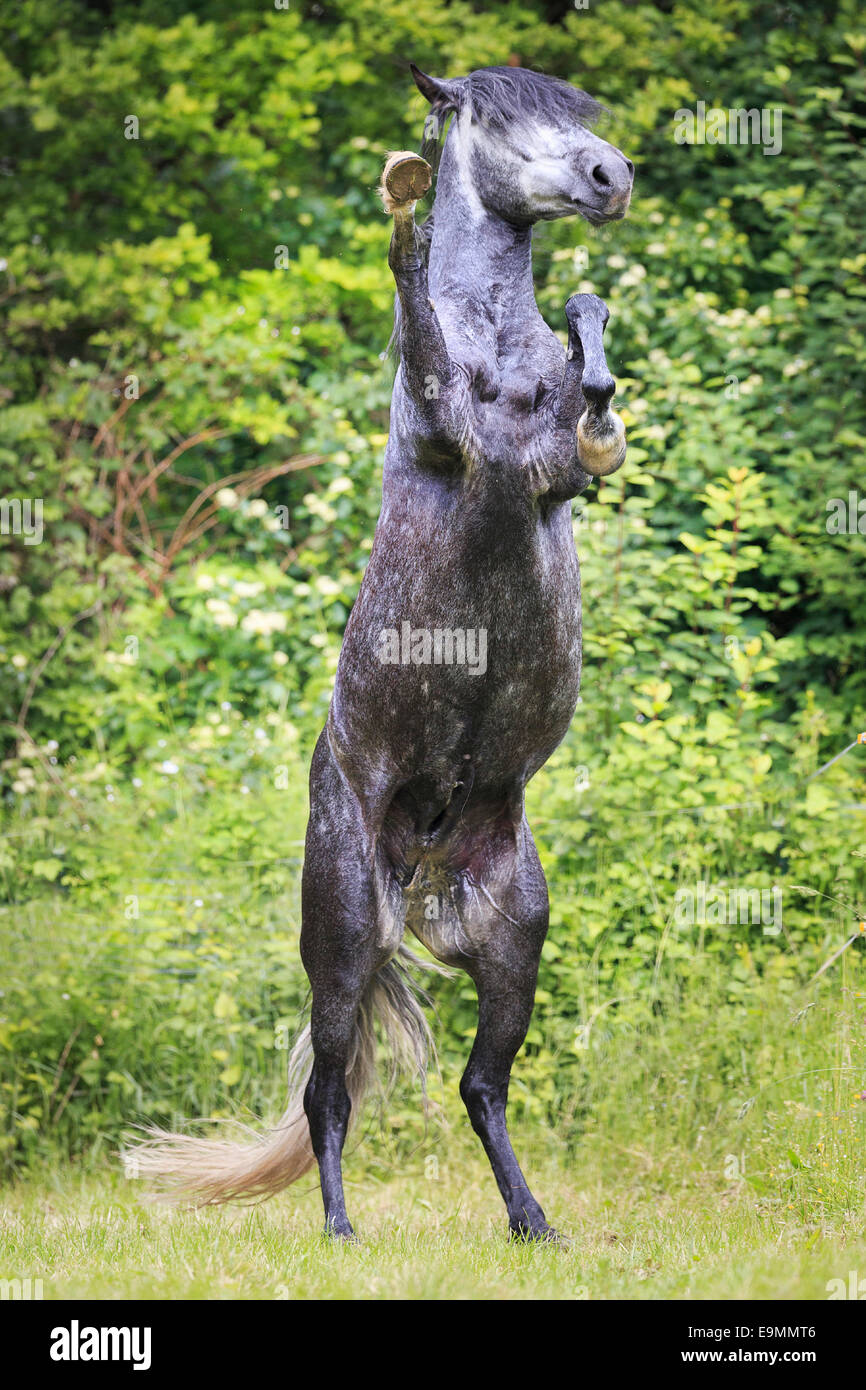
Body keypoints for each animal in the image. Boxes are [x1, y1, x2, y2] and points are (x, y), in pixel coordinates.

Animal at [129, 62, 633, 1243]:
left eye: (576, 111)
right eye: (498, 116)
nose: (610, 176)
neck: (500, 354)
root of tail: (425, 858)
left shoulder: (564, 477)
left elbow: (594, 410)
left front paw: (589, 323)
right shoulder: (452, 431)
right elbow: (425, 335)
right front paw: (402, 216)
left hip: (515, 934)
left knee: (480, 1084)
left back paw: (533, 1223)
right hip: (347, 928)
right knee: (327, 1085)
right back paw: (340, 1231)